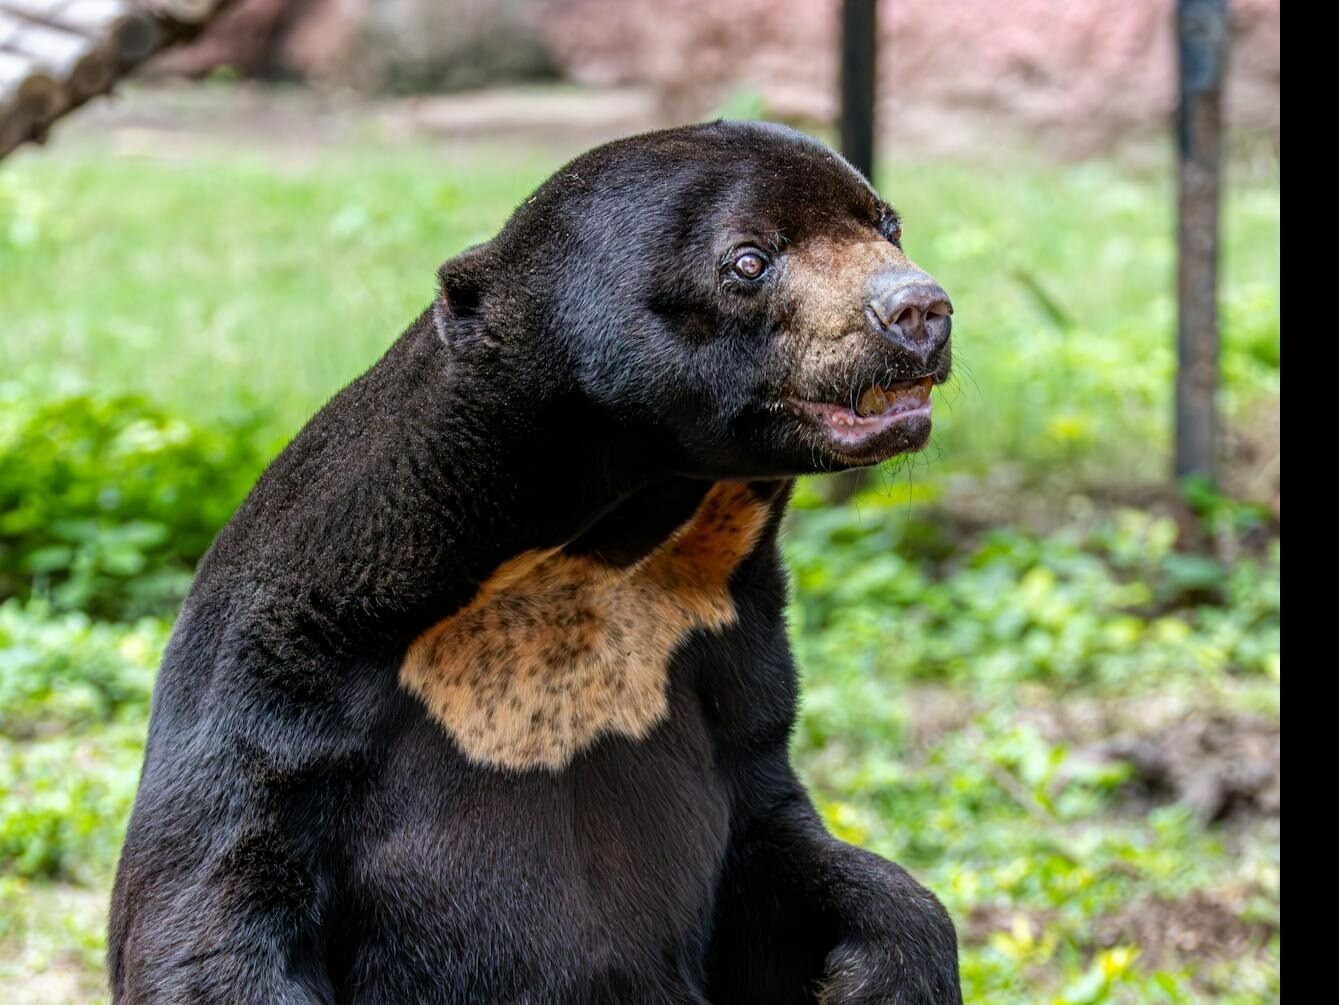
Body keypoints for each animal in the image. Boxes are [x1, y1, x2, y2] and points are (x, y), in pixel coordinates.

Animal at [108, 120, 960, 1005]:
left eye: (887, 223)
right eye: (748, 260)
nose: (917, 309)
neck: (585, 556)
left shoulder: (724, 658)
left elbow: (779, 843)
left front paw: (881, 972)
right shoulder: (284, 678)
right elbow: (210, 899)